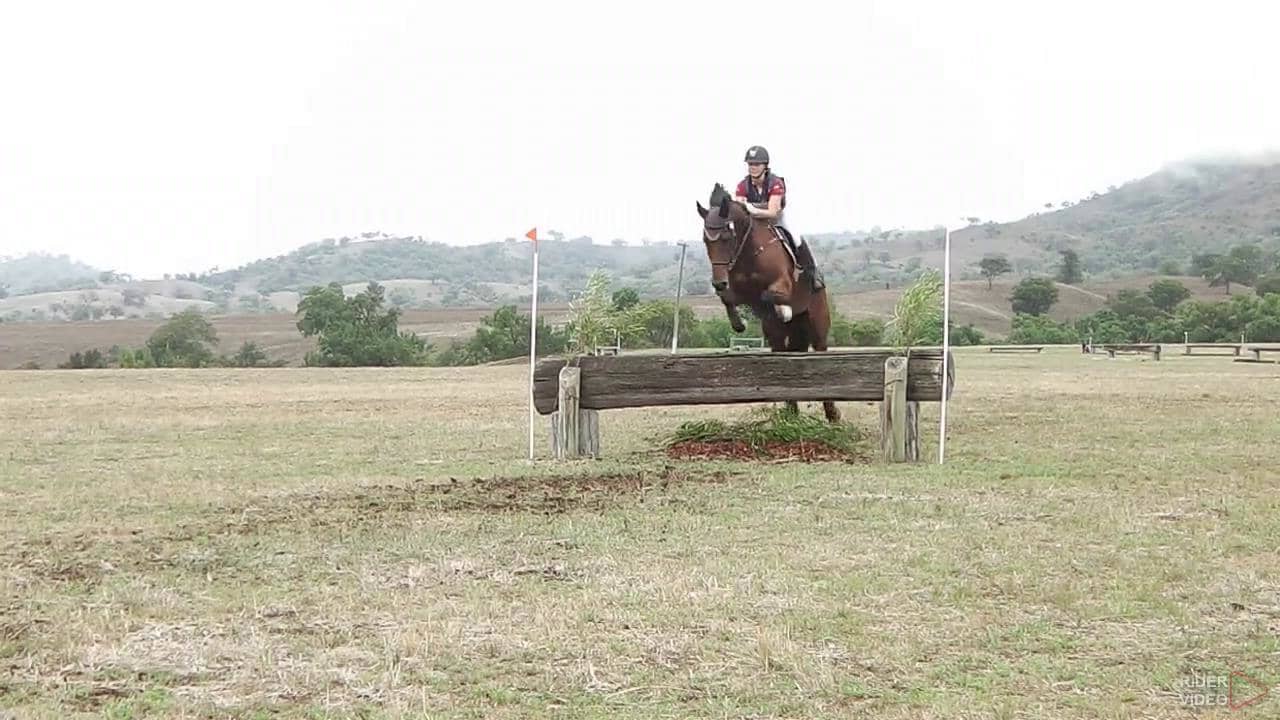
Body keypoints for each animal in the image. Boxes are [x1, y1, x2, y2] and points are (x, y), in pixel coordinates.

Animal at [695, 182, 841, 422]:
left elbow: (768, 296)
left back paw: (832, 414)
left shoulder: (782, 284)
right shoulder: (739, 292)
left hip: (818, 323)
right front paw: (739, 323)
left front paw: (782, 310)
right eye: (706, 241)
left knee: (821, 352)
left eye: (726, 237)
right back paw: (791, 414)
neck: (748, 250)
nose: (718, 283)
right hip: (779, 339)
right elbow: (729, 299)